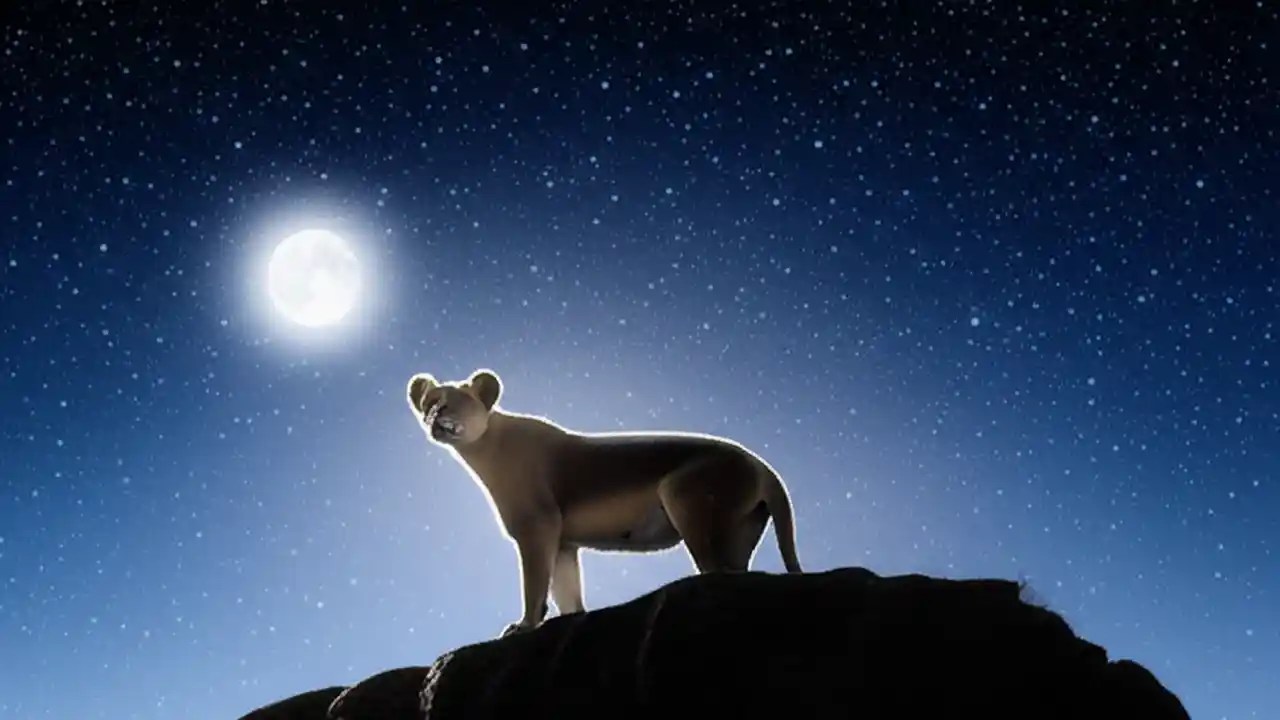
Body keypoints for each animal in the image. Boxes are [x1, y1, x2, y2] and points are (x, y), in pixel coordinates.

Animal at [406, 368, 804, 637]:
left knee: (717, 572)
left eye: (454, 402)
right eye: (428, 403)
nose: (435, 418)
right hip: (738, 533)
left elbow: (534, 585)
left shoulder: (537, 527)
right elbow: (567, 593)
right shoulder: (563, 542)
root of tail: (763, 466)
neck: (484, 446)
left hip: (685, 498)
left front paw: (524, 626)